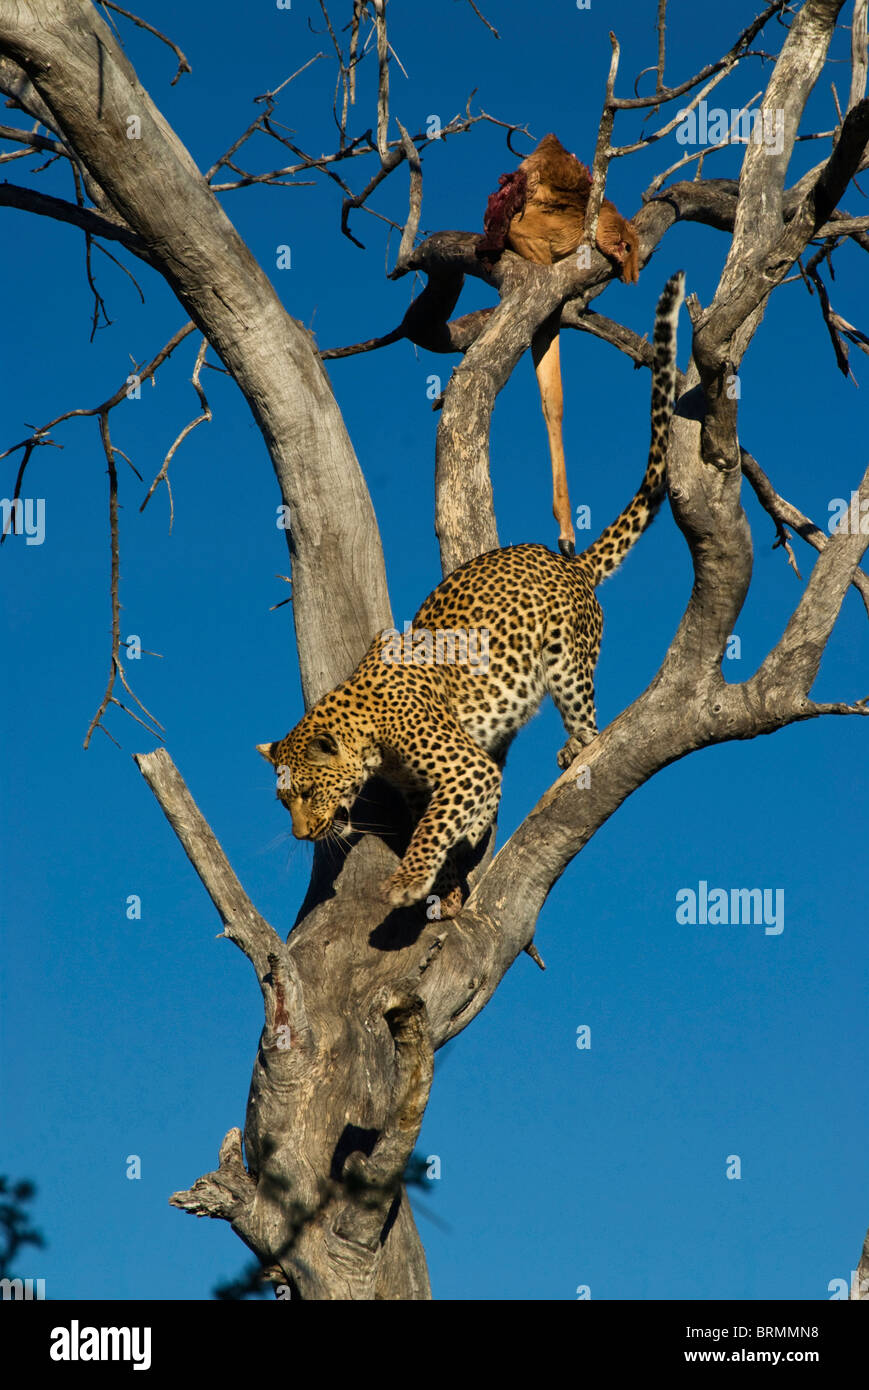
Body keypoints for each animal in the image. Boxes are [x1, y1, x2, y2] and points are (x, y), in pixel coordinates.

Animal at [258, 270, 684, 910]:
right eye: (285, 801)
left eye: (306, 793)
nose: (303, 834)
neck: (367, 732)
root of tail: (567, 561)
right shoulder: (424, 784)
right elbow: (437, 820)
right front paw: (453, 869)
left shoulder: (466, 767)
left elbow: (436, 823)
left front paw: (408, 881)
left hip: (567, 660)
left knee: (588, 716)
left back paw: (578, 746)